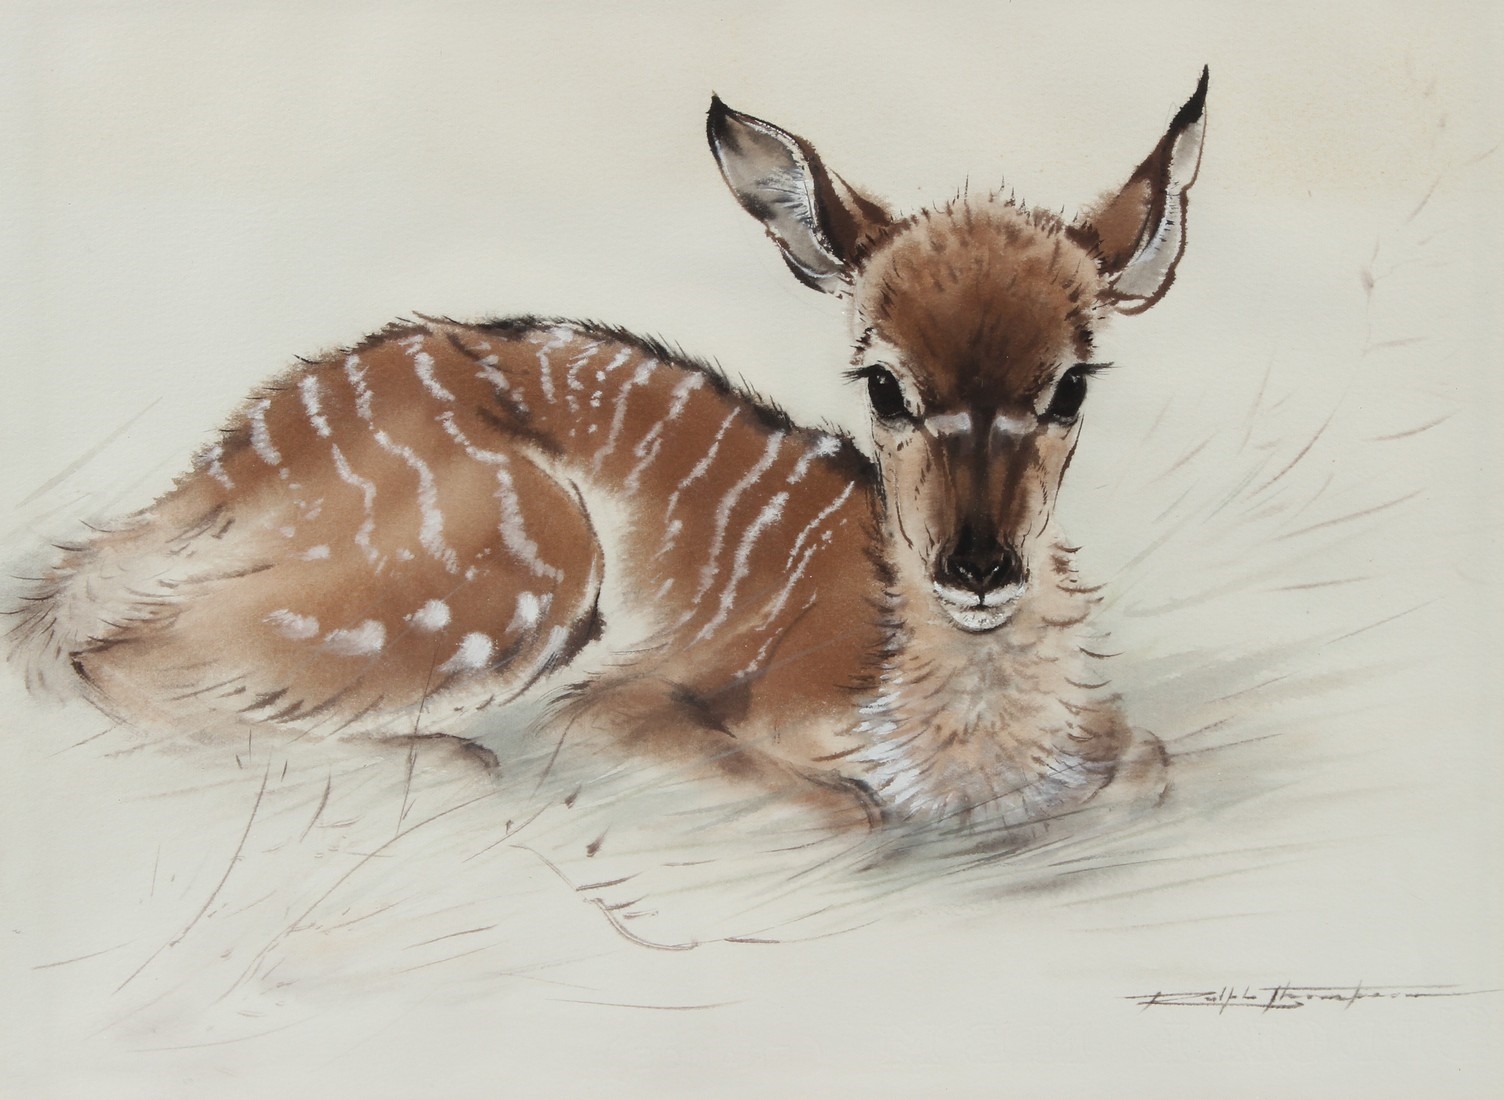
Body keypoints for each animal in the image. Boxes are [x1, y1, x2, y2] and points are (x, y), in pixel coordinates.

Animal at [12, 71, 1208, 832]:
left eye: (1069, 384)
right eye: (883, 384)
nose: (977, 565)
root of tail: (217, 473)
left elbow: (1149, 763)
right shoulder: (627, 705)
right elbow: (849, 812)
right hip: (505, 563)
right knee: (110, 653)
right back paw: (446, 763)